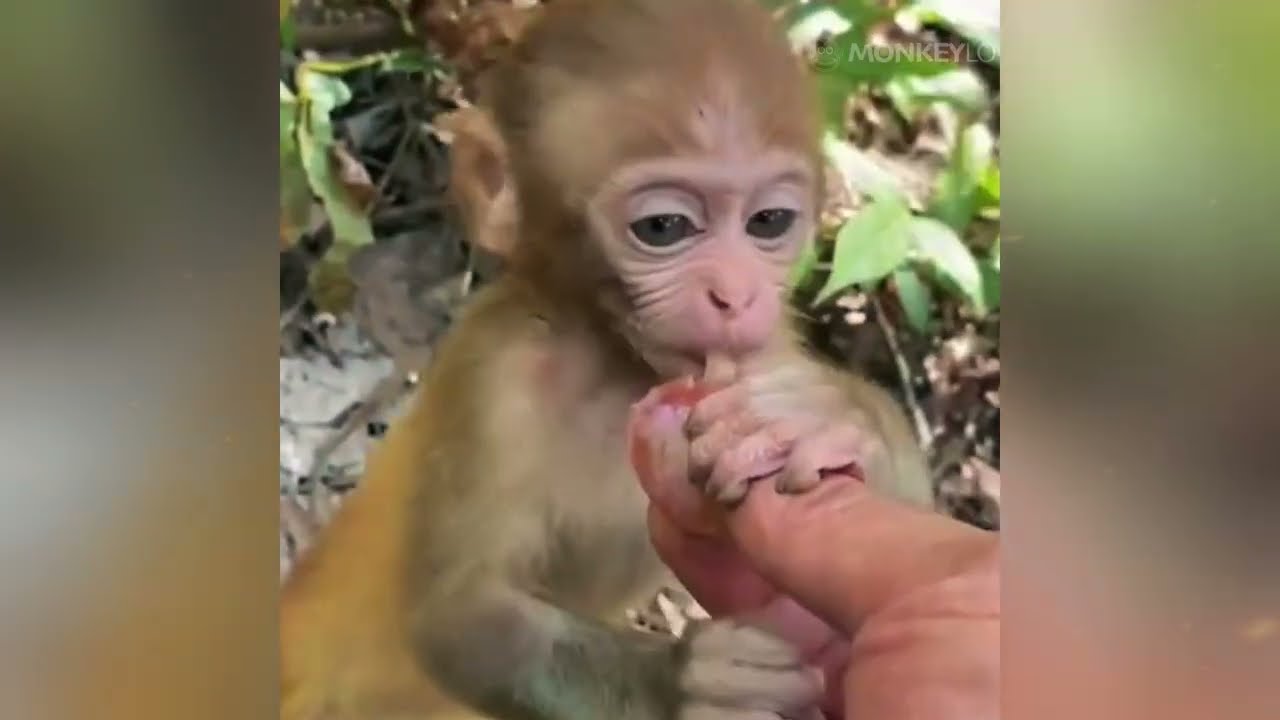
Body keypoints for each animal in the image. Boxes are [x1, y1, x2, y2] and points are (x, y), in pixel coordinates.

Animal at [280, 1, 934, 719]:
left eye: (768, 221)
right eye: (663, 228)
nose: (736, 295)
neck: (618, 363)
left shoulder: (767, 351)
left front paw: (835, 419)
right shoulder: (498, 376)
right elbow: (460, 619)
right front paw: (682, 684)